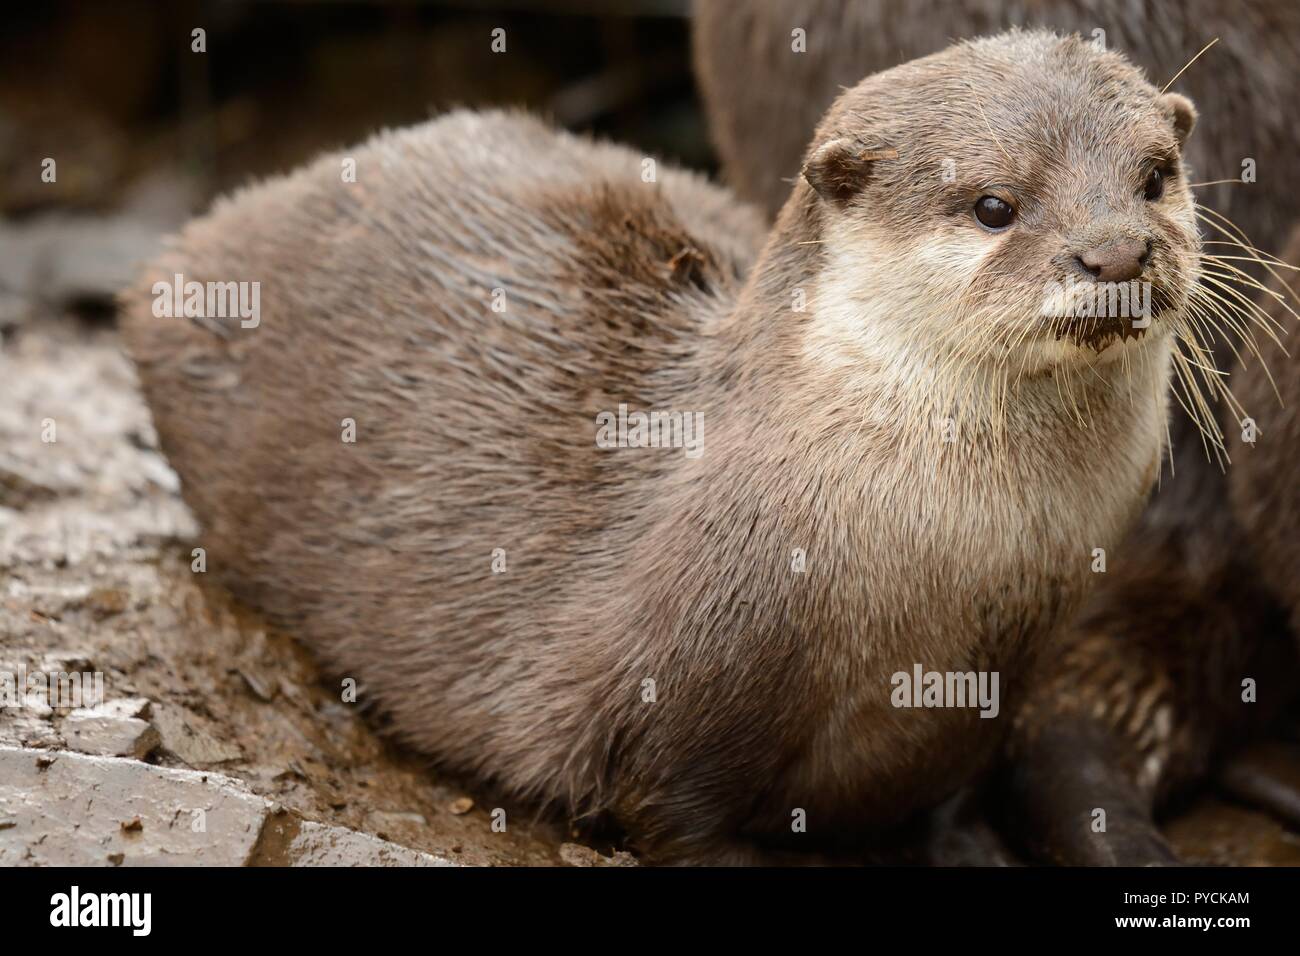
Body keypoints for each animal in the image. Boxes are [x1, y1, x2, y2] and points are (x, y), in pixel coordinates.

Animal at [123, 32, 1201, 863]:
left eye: (1154, 175)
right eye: (993, 205)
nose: (1115, 252)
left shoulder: (989, 690)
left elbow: (947, 802)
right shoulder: (671, 692)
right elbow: (676, 809)